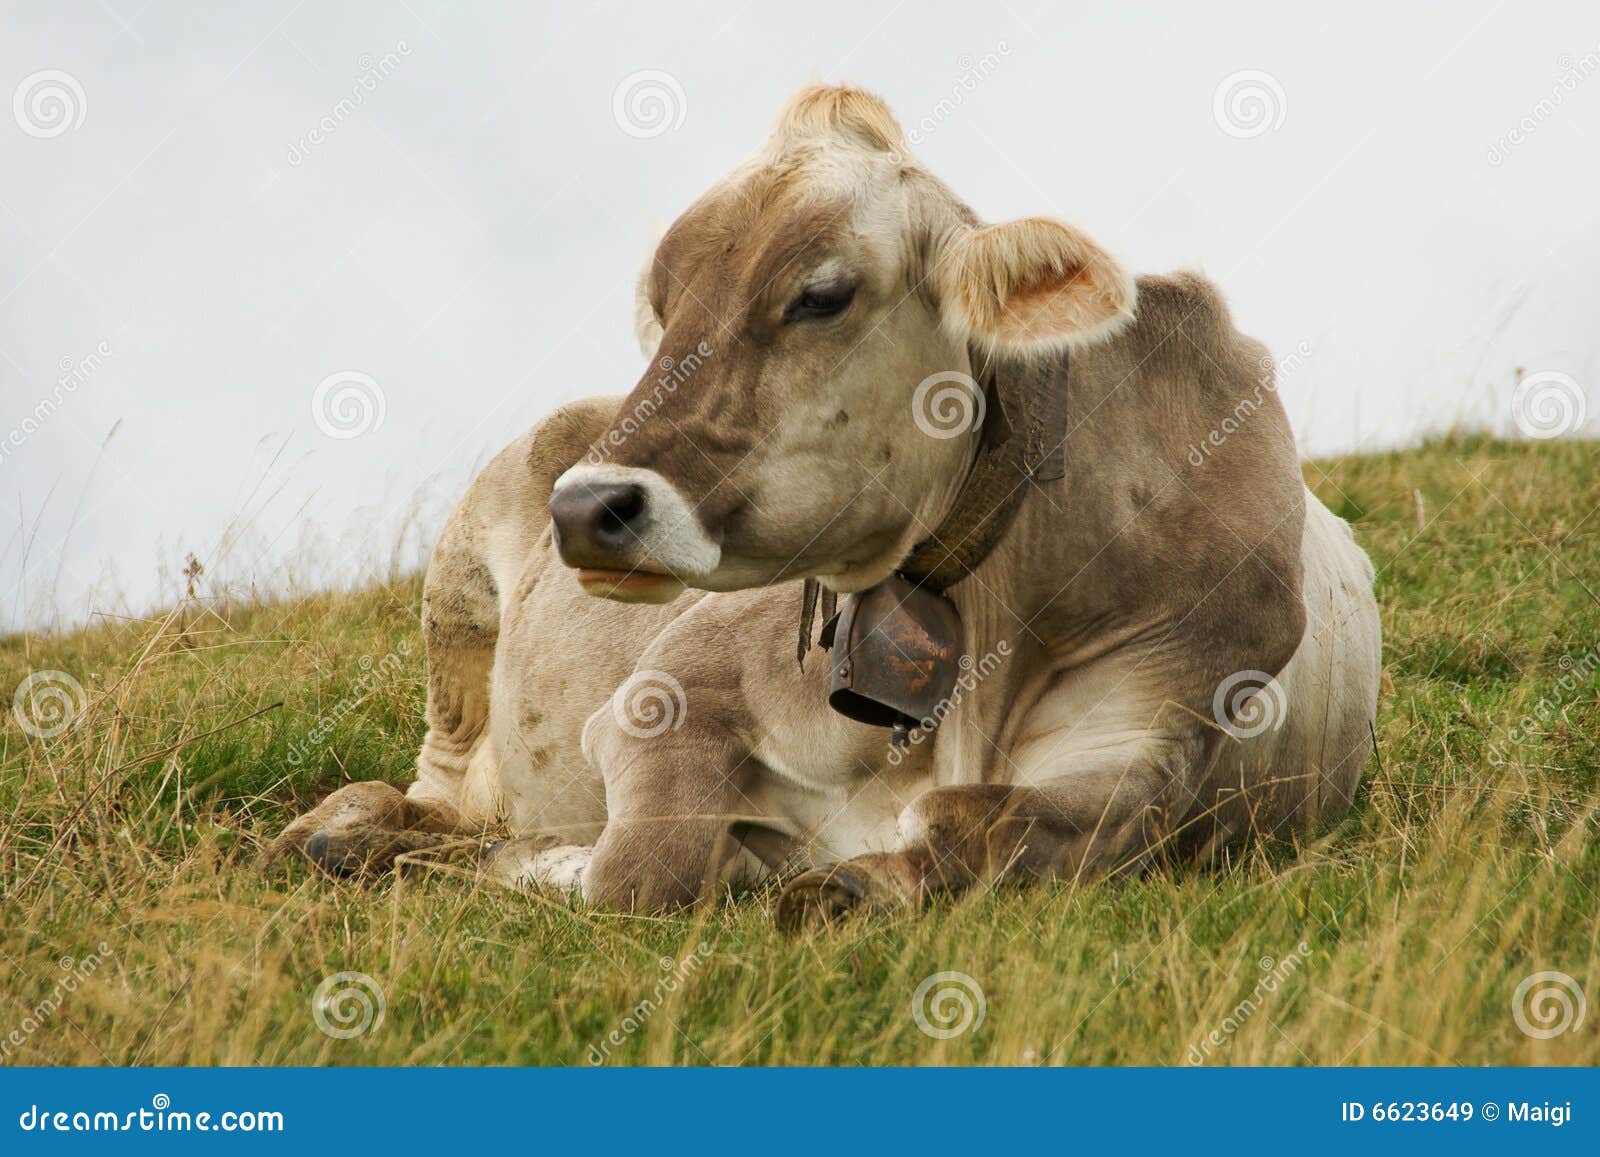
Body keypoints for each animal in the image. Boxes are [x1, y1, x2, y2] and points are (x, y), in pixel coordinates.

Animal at [268, 85, 1382, 929]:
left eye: (821, 294)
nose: (585, 505)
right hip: (455, 624)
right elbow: (643, 866)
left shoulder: (1140, 754)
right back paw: (342, 826)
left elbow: (965, 829)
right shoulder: (663, 693)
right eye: (664, 307)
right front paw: (548, 858)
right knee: (435, 792)